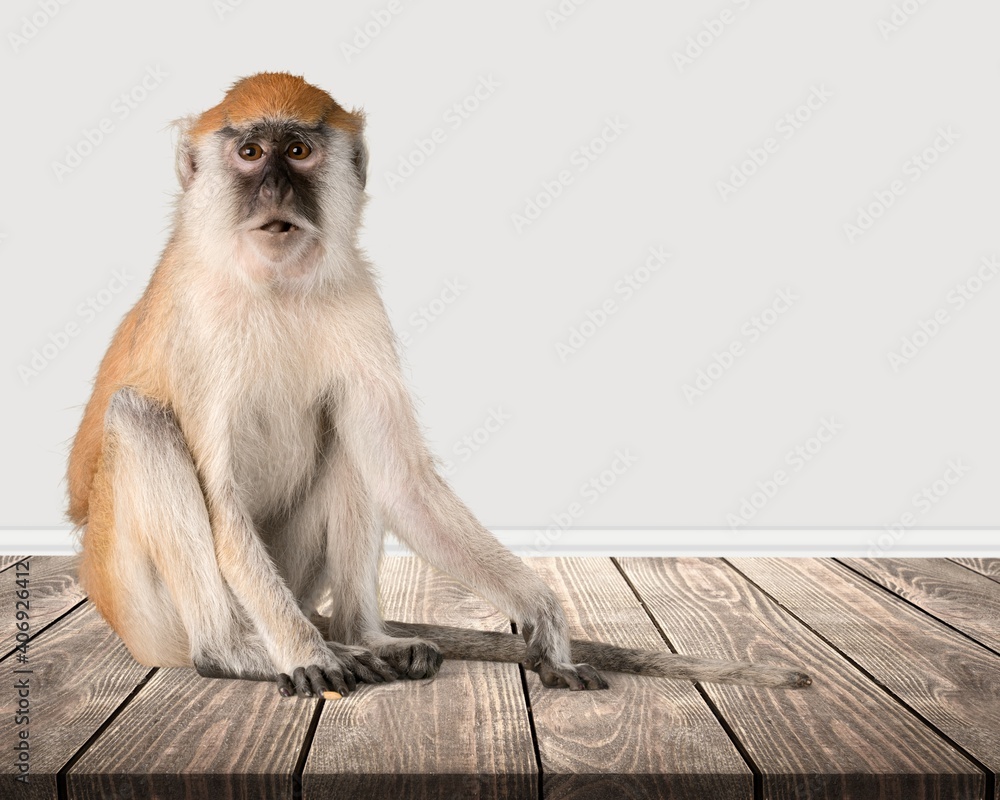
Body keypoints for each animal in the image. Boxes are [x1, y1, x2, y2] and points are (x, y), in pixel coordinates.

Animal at [66, 72, 811, 700]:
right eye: (250, 152)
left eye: (299, 151)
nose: (275, 191)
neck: (274, 284)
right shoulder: (199, 324)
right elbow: (220, 500)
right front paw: (306, 654)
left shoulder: (359, 303)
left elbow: (402, 481)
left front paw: (542, 616)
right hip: (143, 604)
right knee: (139, 418)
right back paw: (236, 651)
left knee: (351, 444)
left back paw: (366, 638)